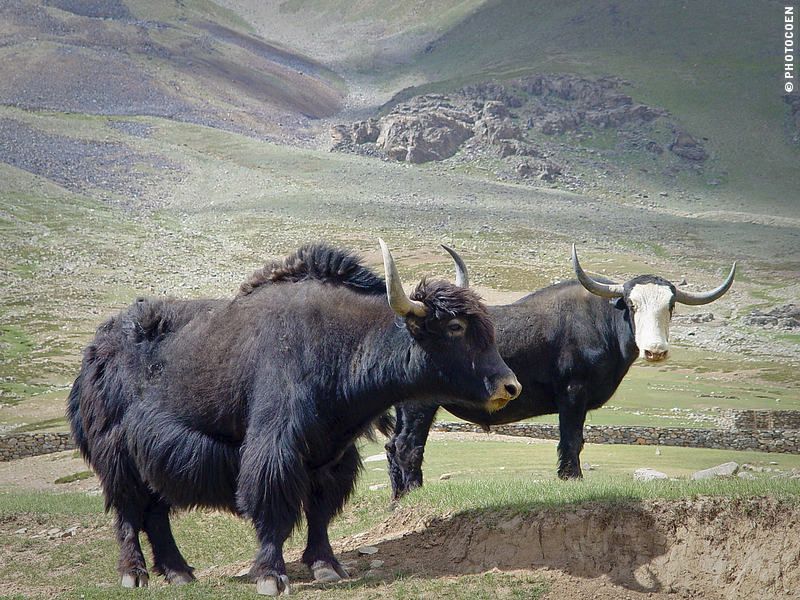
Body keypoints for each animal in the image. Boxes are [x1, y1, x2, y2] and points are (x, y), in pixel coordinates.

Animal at [67, 241, 521, 596]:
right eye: (456, 326)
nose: (510, 386)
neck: (340, 343)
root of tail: (93, 354)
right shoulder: (276, 444)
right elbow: (274, 503)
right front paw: (272, 576)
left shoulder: (331, 454)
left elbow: (319, 509)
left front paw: (327, 567)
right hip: (117, 455)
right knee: (129, 512)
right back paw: (134, 575)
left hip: (154, 458)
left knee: (156, 513)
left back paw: (180, 574)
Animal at [385, 244, 735, 498]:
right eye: (632, 304)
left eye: (671, 305)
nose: (656, 351)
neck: (602, 321)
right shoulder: (573, 393)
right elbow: (572, 439)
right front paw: (572, 479)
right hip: (420, 404)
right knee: (407, 445)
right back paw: (415, 493)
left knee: (393, 446)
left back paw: (398, 497)